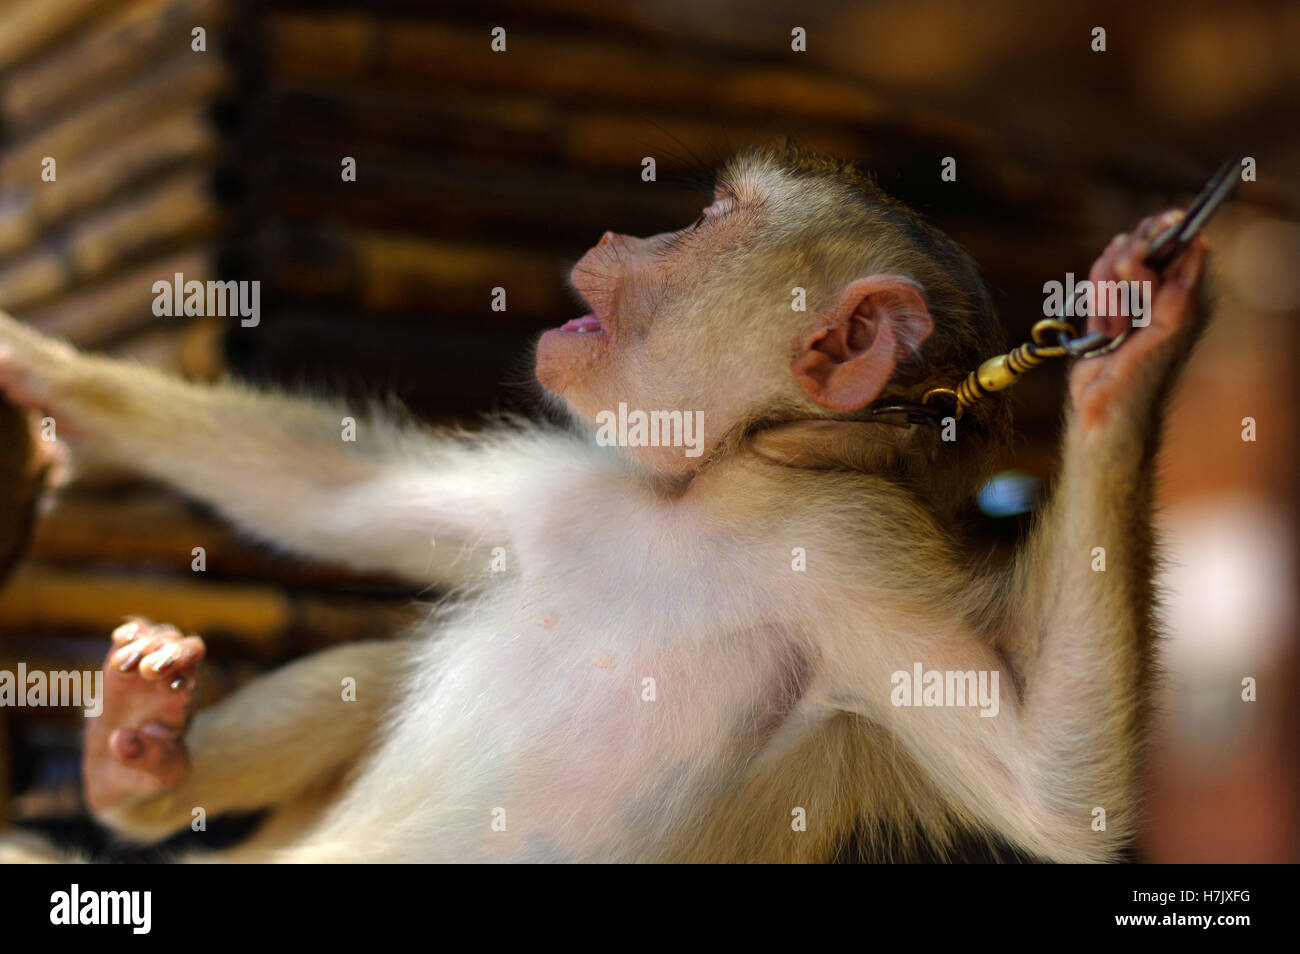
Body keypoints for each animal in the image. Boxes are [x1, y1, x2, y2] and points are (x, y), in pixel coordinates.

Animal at [0, 143, 1209, 863]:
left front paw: (1132, 361)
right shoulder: (577, 483)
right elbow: (335, 497)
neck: (703, 494)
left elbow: (1050, 789)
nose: (626, 234)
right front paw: (39, 367)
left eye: (709, 219)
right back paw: (136, 769)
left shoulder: (846, 547)